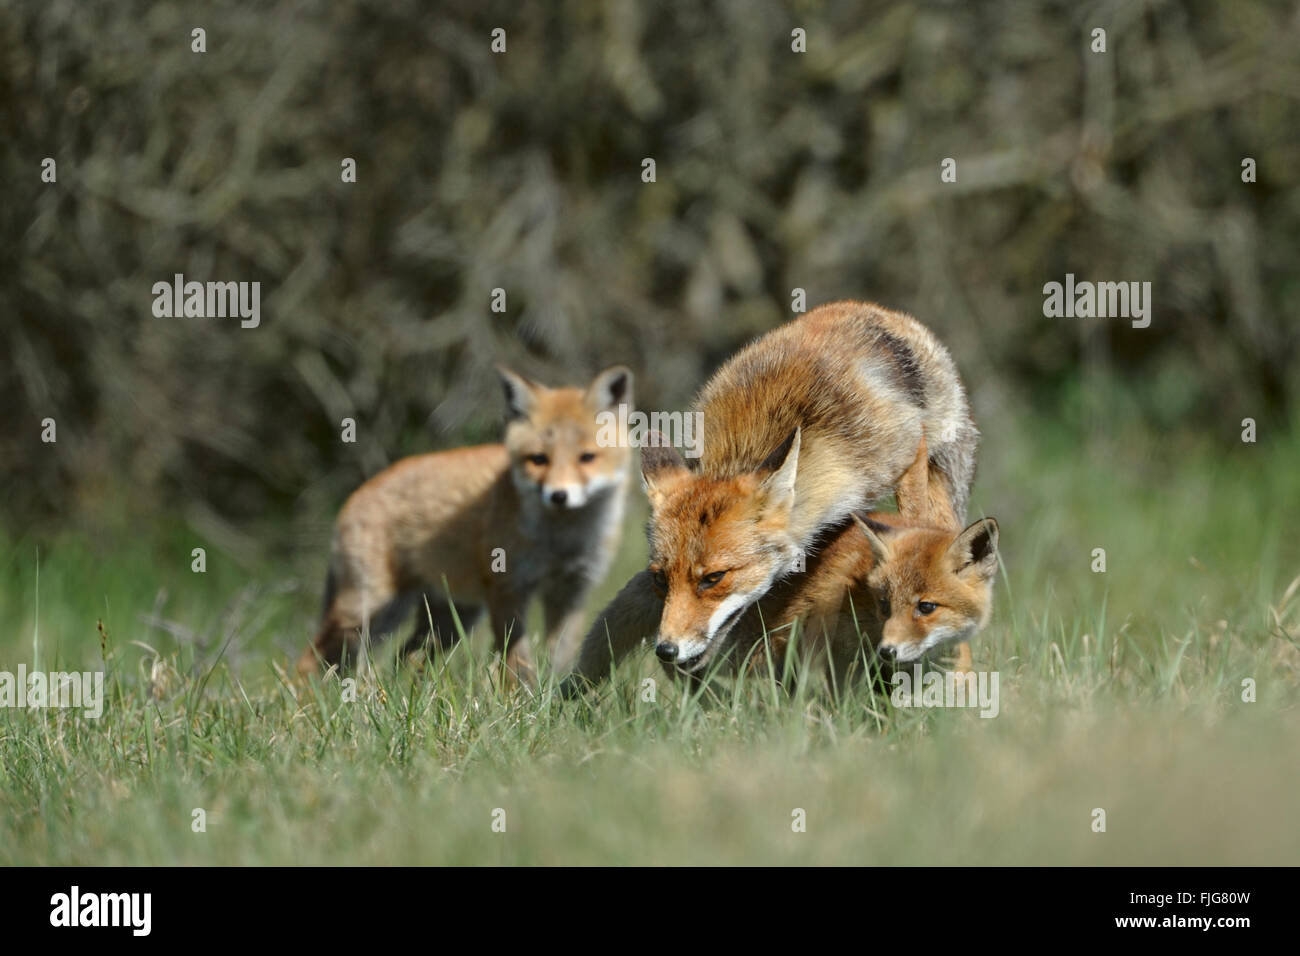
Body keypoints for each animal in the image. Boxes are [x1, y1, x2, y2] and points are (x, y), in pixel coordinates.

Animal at [300, 366, 634, 686]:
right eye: (538, 459)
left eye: (587, 457)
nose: (559, 496)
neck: (563, 541)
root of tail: (356, 494)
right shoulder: (508, 588)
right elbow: (518, 662)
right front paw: (522, 696)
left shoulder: (572, 591)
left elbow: (559, 657)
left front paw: (551, 694)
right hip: (370, 606)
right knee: (311, 656)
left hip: (447, 621)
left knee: (403, 660)